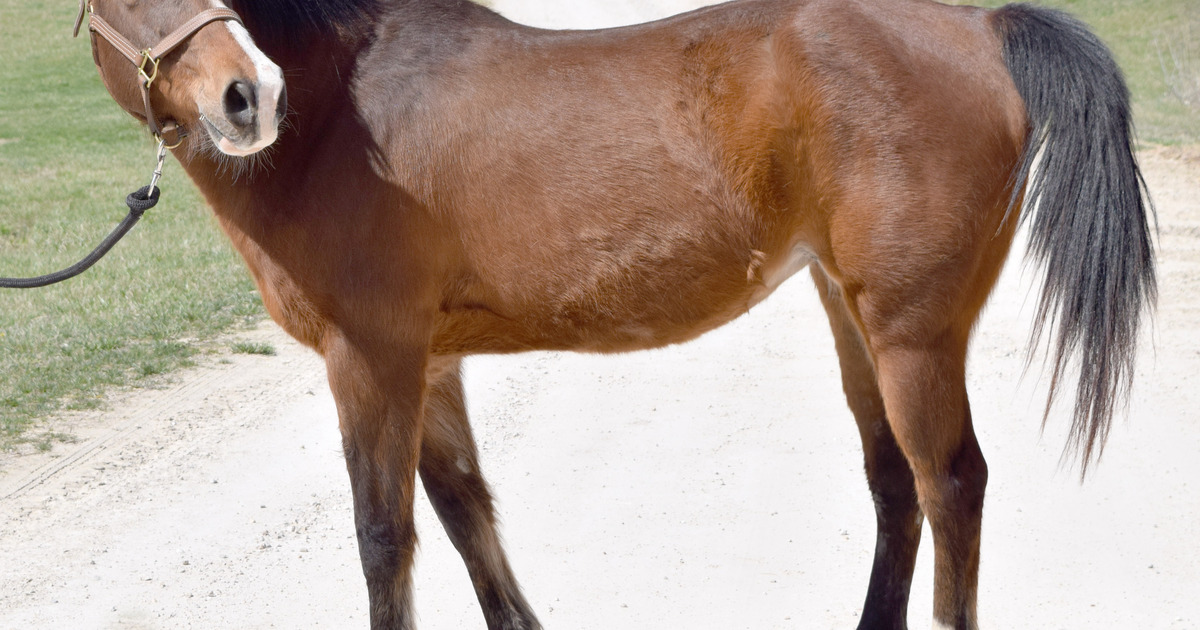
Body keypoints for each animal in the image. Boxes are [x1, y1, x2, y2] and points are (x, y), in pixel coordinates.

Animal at [74, 0, 1155, 628]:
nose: (245, 96)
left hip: (913, 333)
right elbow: (466, 515)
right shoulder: (426, 361)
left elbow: (384, 538)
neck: (345, 111)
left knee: (951, 485)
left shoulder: (368, 358)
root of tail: (979, 23)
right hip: (851, 313)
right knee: (897, 485)